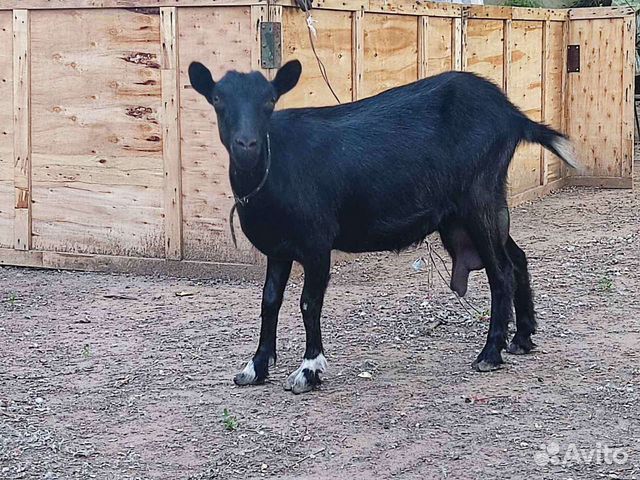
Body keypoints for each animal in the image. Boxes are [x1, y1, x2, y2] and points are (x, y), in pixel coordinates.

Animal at [189, 59, 581, 394]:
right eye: (218, 99)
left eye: (269, 101)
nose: (247, 144)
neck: (274, 168)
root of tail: (512, 115)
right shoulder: (279, 248)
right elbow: (270, 301)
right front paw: (255, 367)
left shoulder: (316, 243)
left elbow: (309, 303)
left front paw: (308, 370)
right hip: (478, 209)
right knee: (517, 258)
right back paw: (522, 338)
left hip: (479, 197)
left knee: (500, 272)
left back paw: (490, 353)